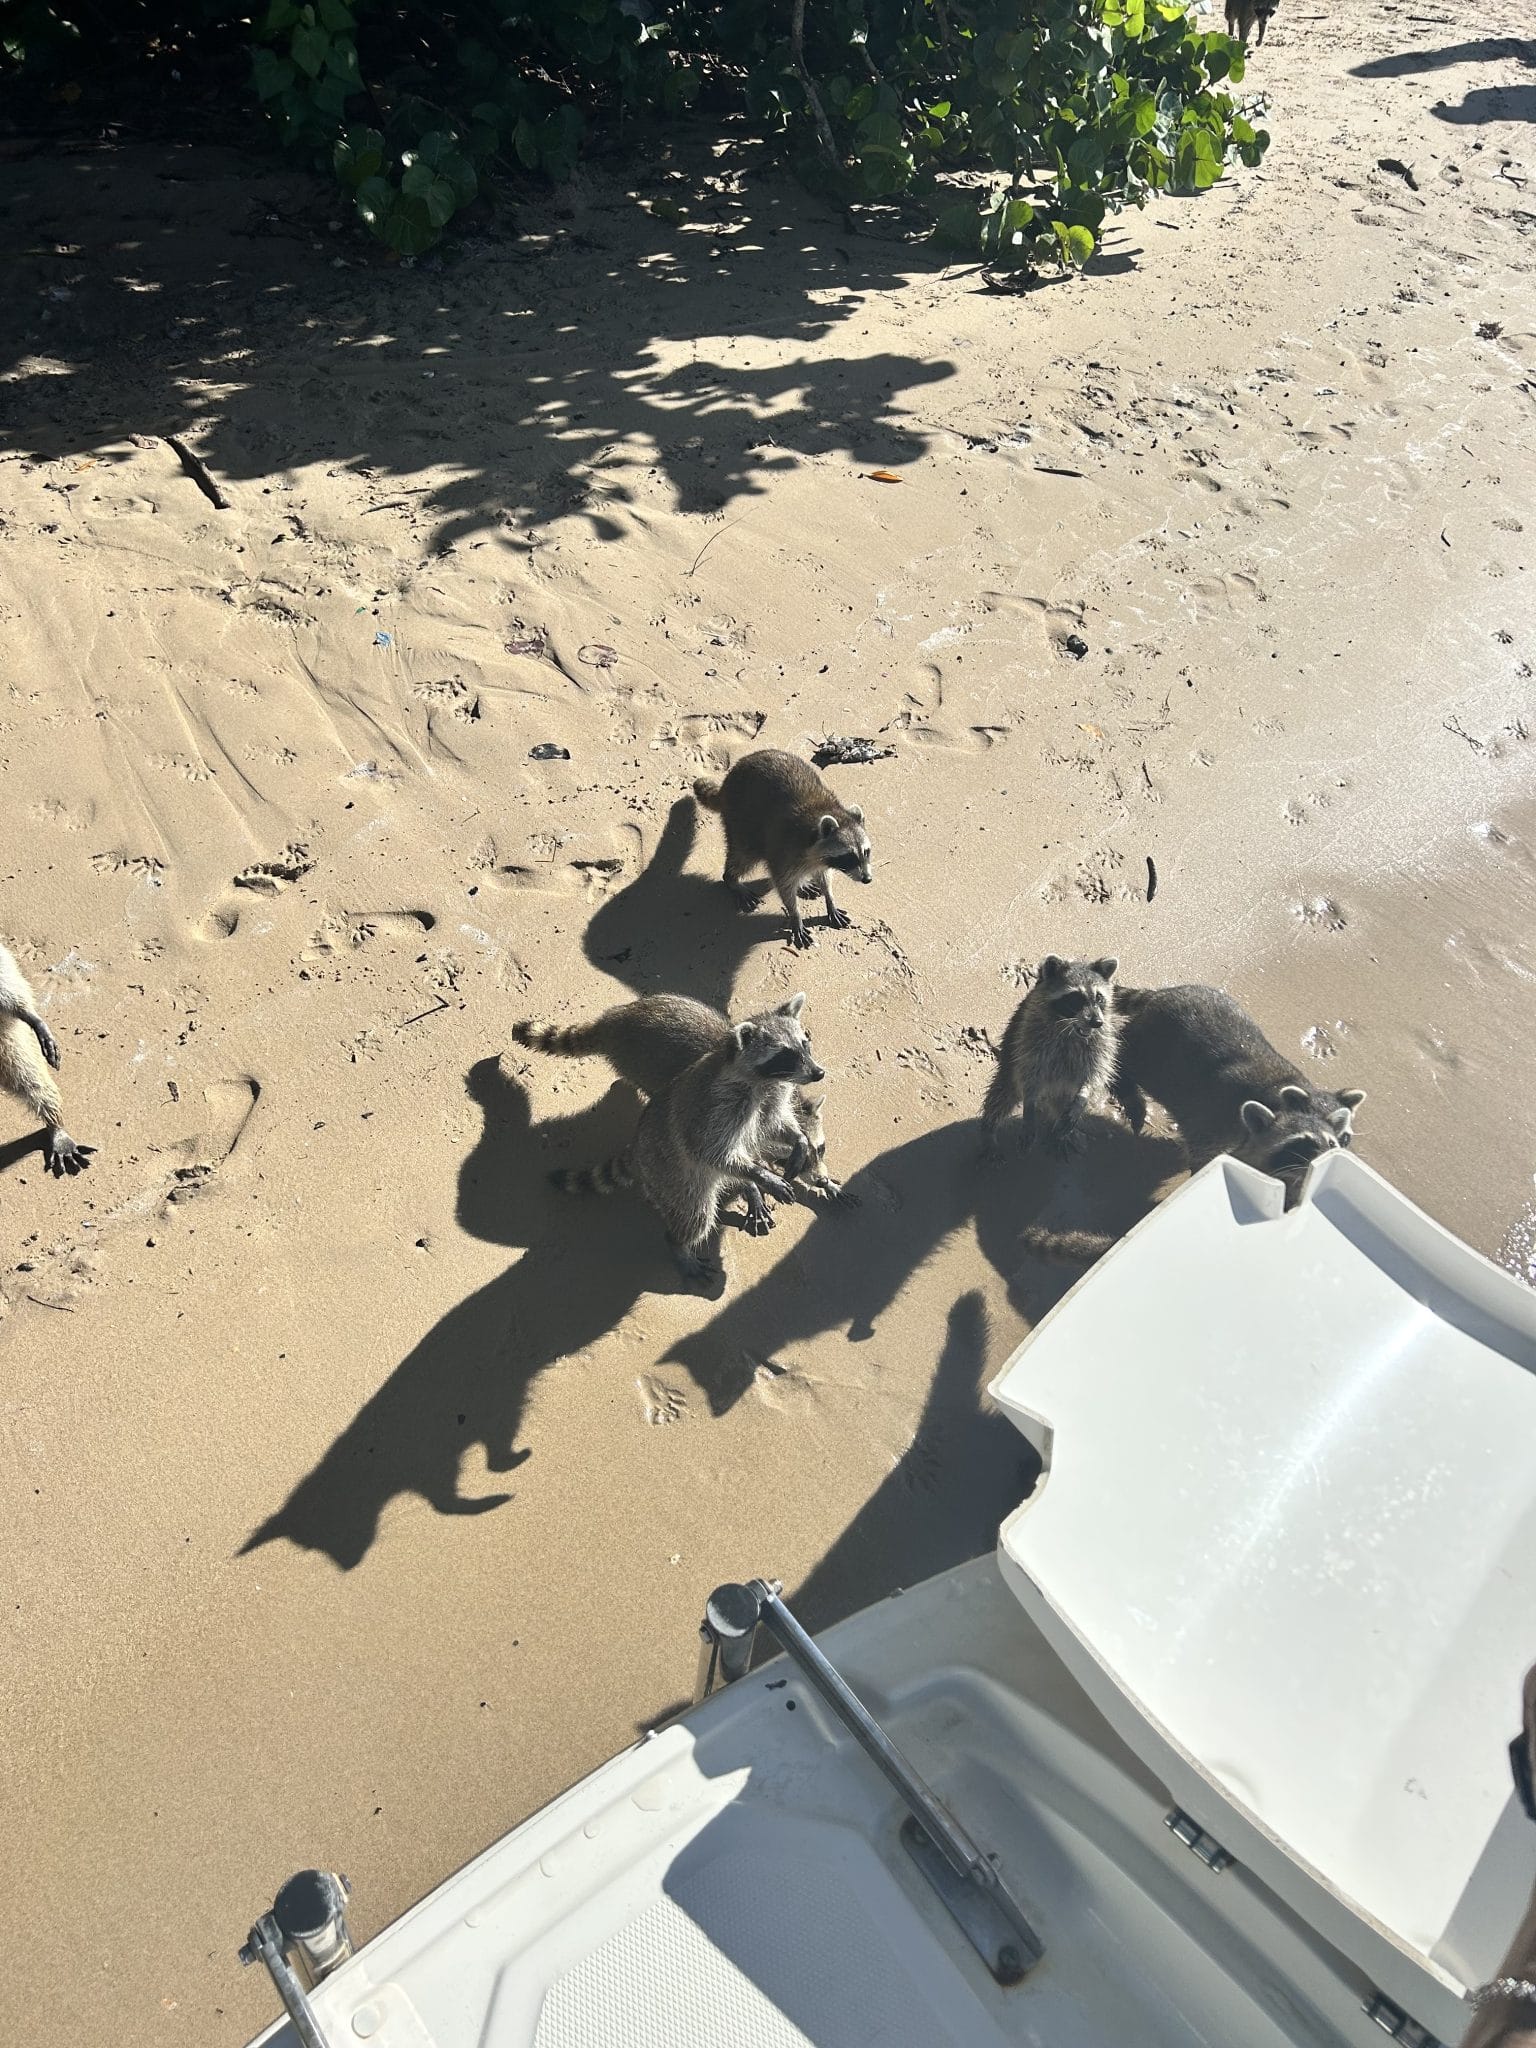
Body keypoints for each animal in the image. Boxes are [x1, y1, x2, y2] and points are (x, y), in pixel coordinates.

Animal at [551, 995, 826, 1284]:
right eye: (785, 1055)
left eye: (805, 1043)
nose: (819, 1073)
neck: (763, 1080)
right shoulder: (716, 1112)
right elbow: (714, 1153)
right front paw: (762, 1177)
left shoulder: (771, 1100)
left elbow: (774, 1126)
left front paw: (799, 1142)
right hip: (674, 1179)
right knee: (696, 1214)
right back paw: (679, 1244)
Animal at [693, 749, 873, 951]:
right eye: (849, 856)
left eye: (866, 852)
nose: (867, 879)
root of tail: (726, 782)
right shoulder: (785, 849)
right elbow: (783, 885)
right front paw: (796, 915)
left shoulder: (820, 859)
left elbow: (824, 877)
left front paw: (830, 899)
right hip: (741, 822)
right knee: (743, 857)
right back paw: (732, 879)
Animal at [982, 955, 1120, 1157]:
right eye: (1076, 997)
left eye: (1099, 997)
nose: (1096, 1022)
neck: (1070, 1028)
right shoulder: (1029, 1036)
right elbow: (1029, 1073)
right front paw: (1029, 1104)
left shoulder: (1101, 1042)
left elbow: (1093, 1074)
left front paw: (1083, 1095)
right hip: (1009, 1062)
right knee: (1001, 1095)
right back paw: (989, 1130)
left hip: (1064, 1091)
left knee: (1063, 1107)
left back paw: (1064, 1133)